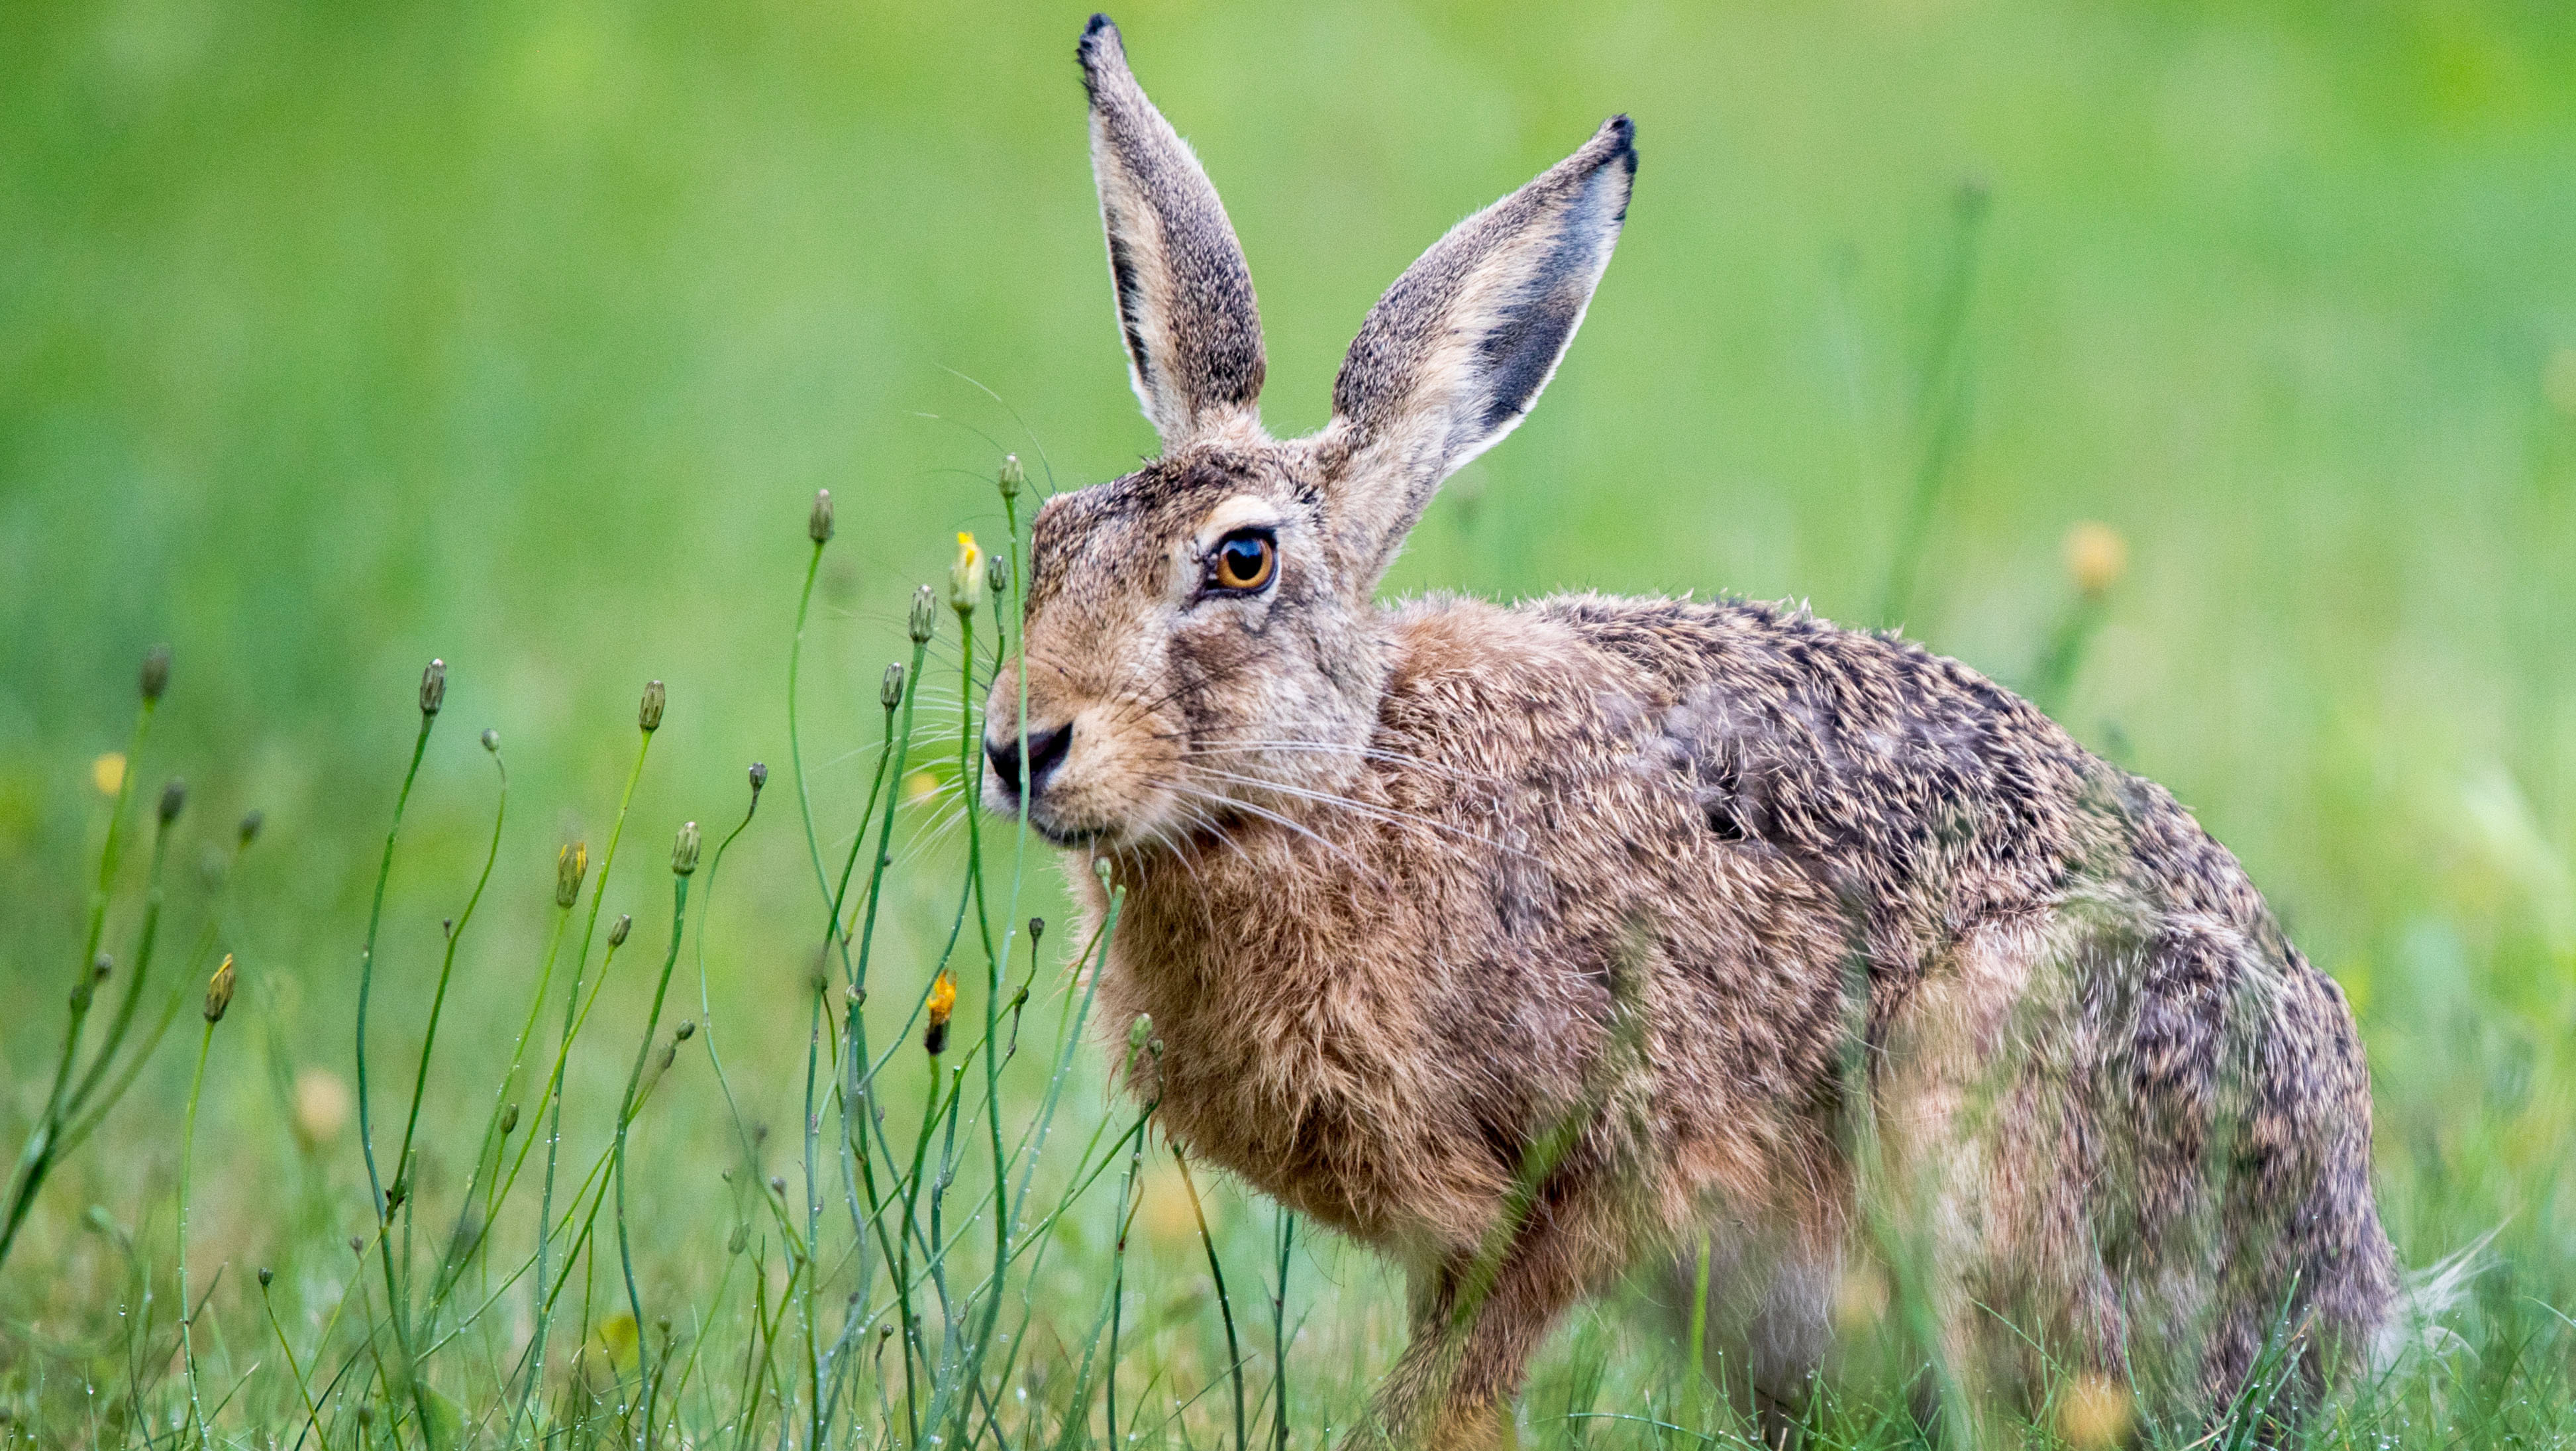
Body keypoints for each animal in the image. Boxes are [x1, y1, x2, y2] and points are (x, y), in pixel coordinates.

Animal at [981, 16, 2395, 1450]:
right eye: (1050, 533)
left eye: (1241, 563)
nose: (1021, 748)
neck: (1341, 781)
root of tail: (2348, 1305)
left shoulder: (1594, 1164)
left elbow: (1453, 1385)